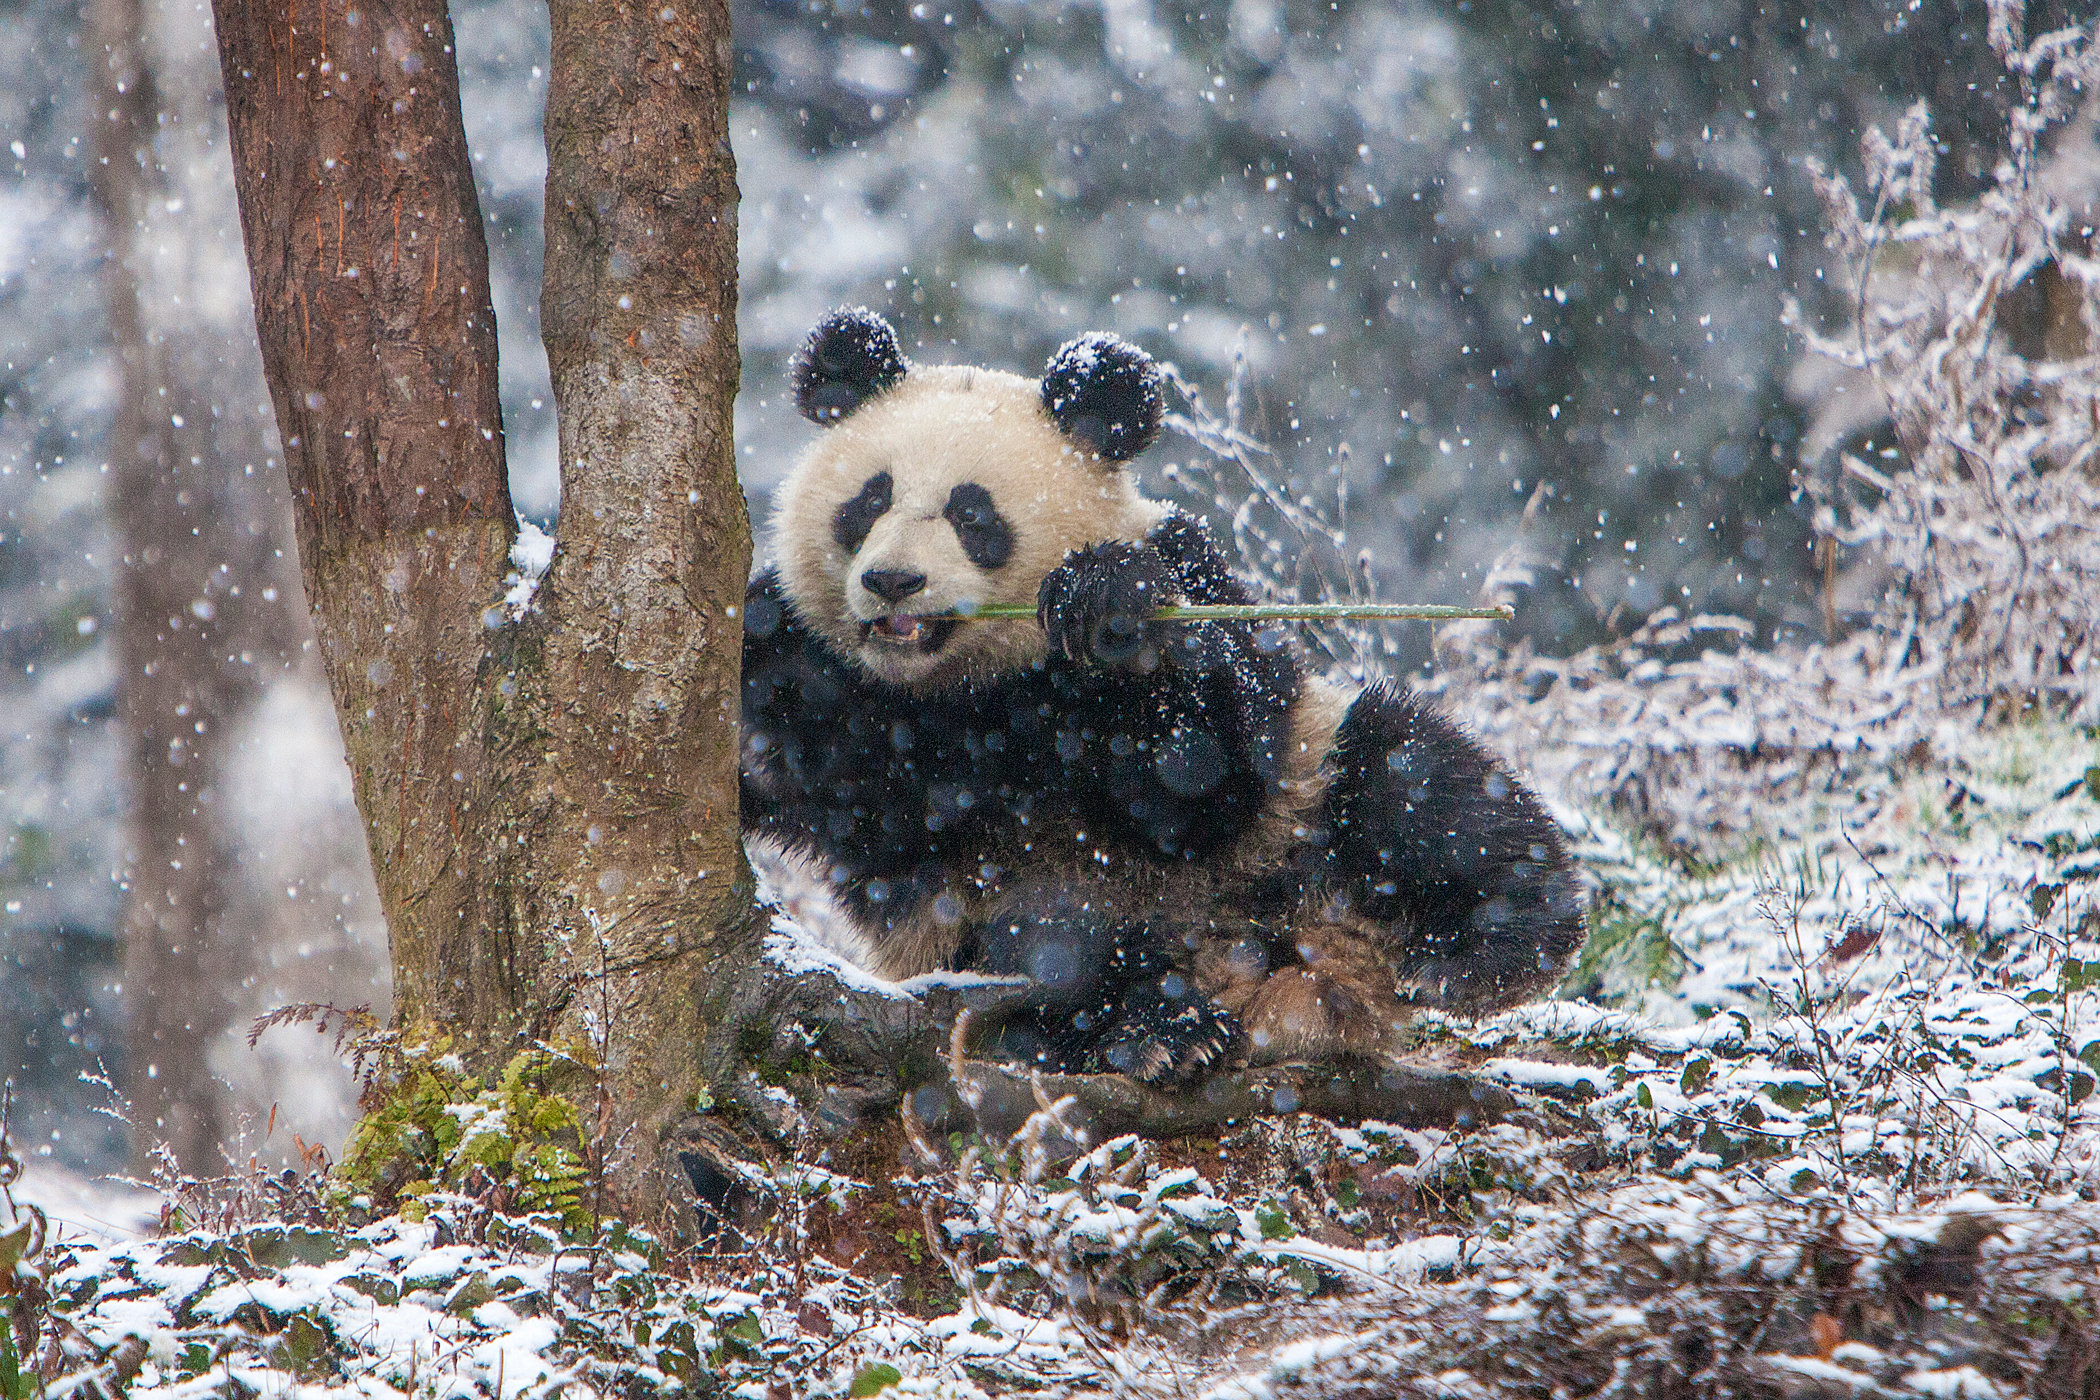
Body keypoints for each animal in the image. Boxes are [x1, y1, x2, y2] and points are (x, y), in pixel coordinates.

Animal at [741, 307, 1586, 1086]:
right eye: (867, 502)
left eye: (972, 514)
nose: (892, 581)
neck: (964, 693)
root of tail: (1292, 985)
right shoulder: (824, 684)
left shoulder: (1188, 568)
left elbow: (1204, 776)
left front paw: (1107, 608)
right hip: (981, 925)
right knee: (1048, 961)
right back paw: (1163, 1029)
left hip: (1304, 803)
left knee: (1420, 784)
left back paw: (1482, 950)